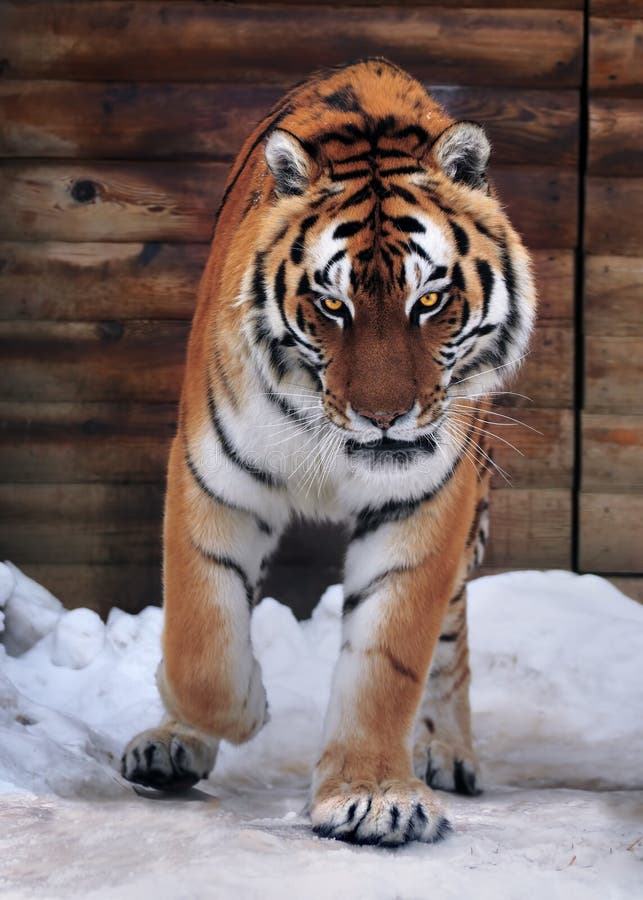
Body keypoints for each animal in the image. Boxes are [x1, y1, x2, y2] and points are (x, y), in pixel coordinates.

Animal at [121, 58, 536, 846]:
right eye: (332, 304)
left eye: (429, 301)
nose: (383, 418)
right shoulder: (213, 476)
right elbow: (198, 638)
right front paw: (240, 709)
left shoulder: (427, 501)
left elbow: (387, 661)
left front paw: (373, 795)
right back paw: (169, 742)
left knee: (452, 637)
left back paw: (447, 751)